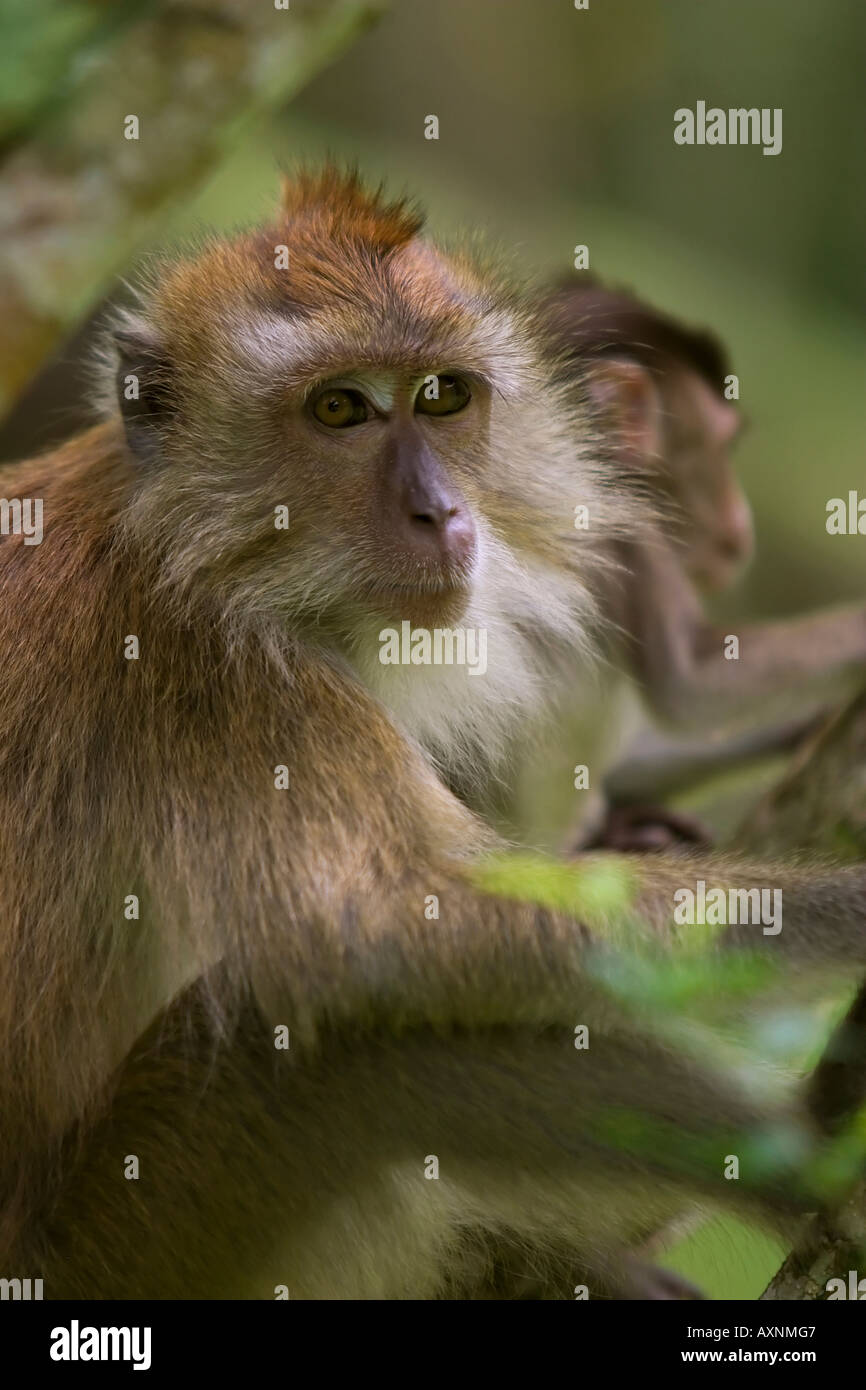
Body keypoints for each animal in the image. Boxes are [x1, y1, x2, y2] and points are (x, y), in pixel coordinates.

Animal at [3, 168, 866, 1300]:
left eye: (442, 396)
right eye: (339, 408)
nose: (440, 512)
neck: (189, 538)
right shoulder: (219, 675)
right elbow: (383, 935)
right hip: (128, 1247)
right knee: (355, 1054)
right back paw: (810, 1161)